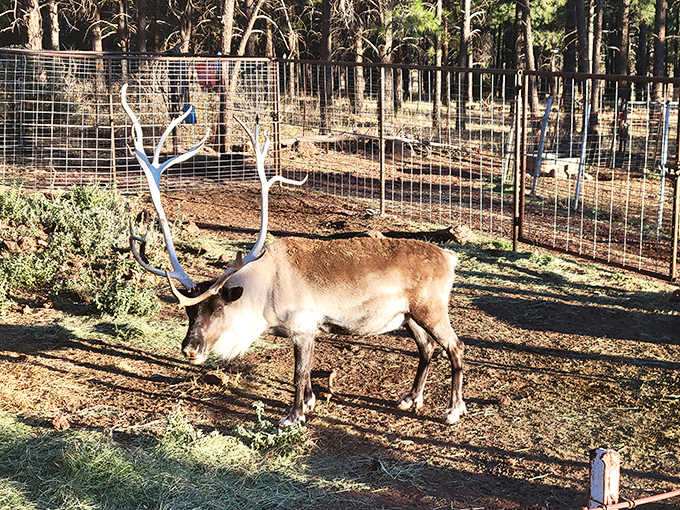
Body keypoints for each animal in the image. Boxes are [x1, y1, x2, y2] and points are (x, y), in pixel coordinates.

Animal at [121, 83, 467, 426]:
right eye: (189, 311)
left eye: (217, 308)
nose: (190, 349)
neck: (262, 294)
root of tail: (450, 258)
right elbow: (307, 372)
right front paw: (310, 402)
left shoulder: (303, 325)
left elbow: (299, 373)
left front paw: (294, 414)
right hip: (408, 317)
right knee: (427, 348)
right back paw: (411, 398)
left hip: (431, 309)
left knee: (455, 346)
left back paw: (453, 410)